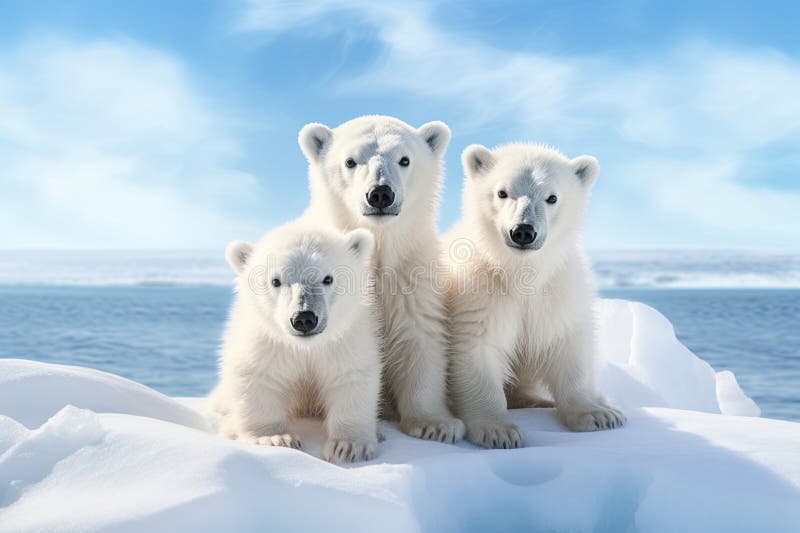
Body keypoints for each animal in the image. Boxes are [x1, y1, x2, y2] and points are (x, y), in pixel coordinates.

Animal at [210, 222, 381, 463]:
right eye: (276, 280)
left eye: (328, 278)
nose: (304, 318)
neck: (306, 347)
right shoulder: (267, 342)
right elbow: (258, 375)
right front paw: (274, 438)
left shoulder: (344, 339)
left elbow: (351, 375)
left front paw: (348, 446)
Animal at [297, 116, 465, 444]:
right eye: (350, 161)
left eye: (404, 159)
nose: (380, 194)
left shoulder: (410, 277)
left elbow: (418, 336)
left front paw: (435, 424)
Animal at [442, 143, 625, 449]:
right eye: (502, 192)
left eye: (552, 197)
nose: (523, 231)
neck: (520, 272)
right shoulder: (479, 292)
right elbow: (480, 350)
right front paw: (499, 431)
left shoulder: (557, 289)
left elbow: (567, 345)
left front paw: (596, 415)